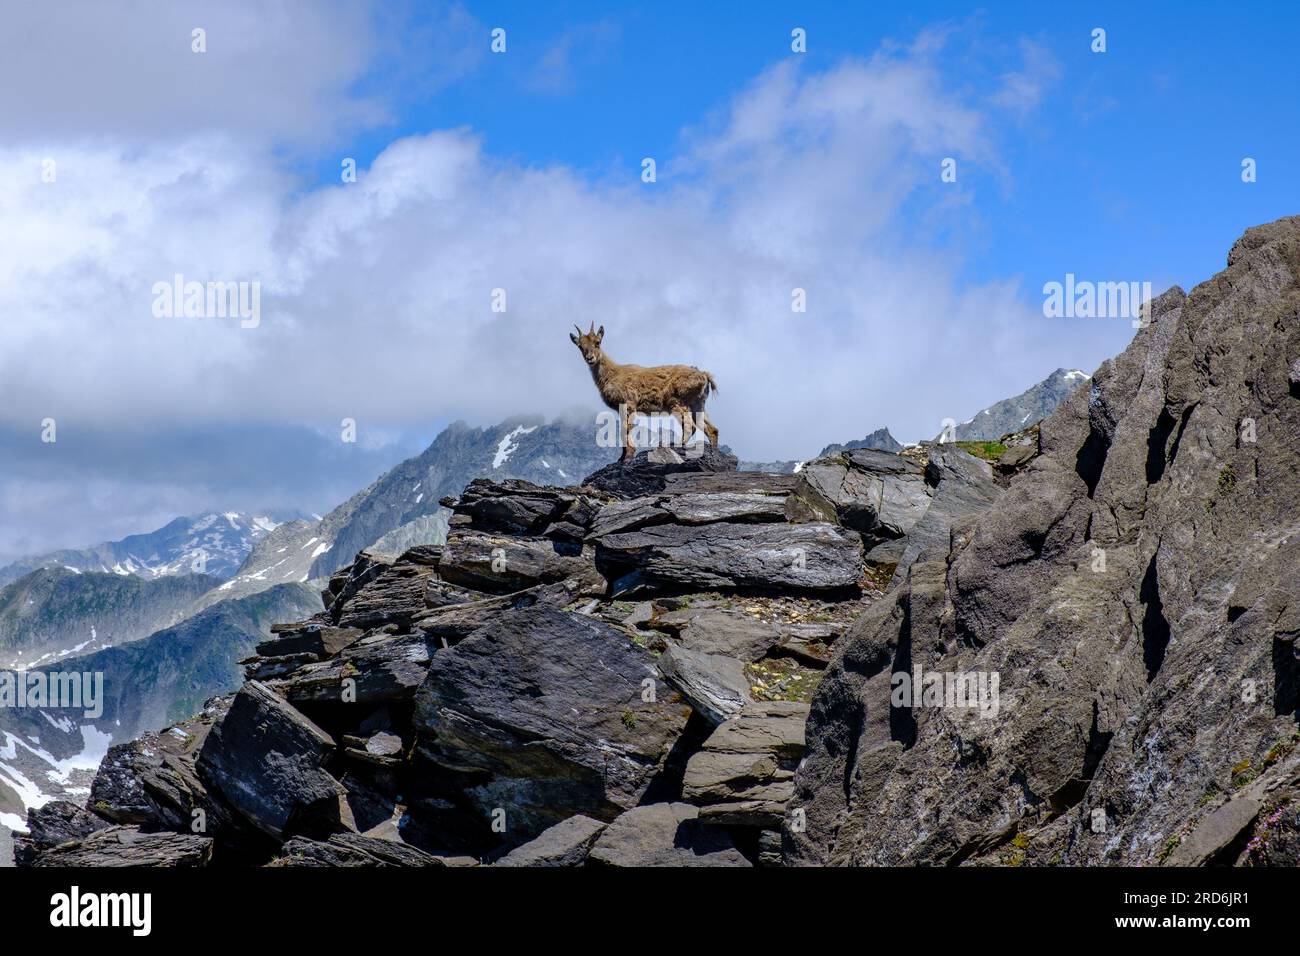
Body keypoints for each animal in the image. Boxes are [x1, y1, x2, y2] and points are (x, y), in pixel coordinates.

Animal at [569, 323, 719, 461]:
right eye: (580, 346)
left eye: (598, 342)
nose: (590, 358)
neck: (611, 374)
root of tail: (704, 375)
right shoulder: (620, 408)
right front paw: (621, 457)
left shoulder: (628, 403)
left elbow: (625, 428)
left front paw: (629, 455)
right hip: (698, 403)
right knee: (711, 429)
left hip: (678, 400)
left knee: (690, 425)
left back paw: (677, 444)